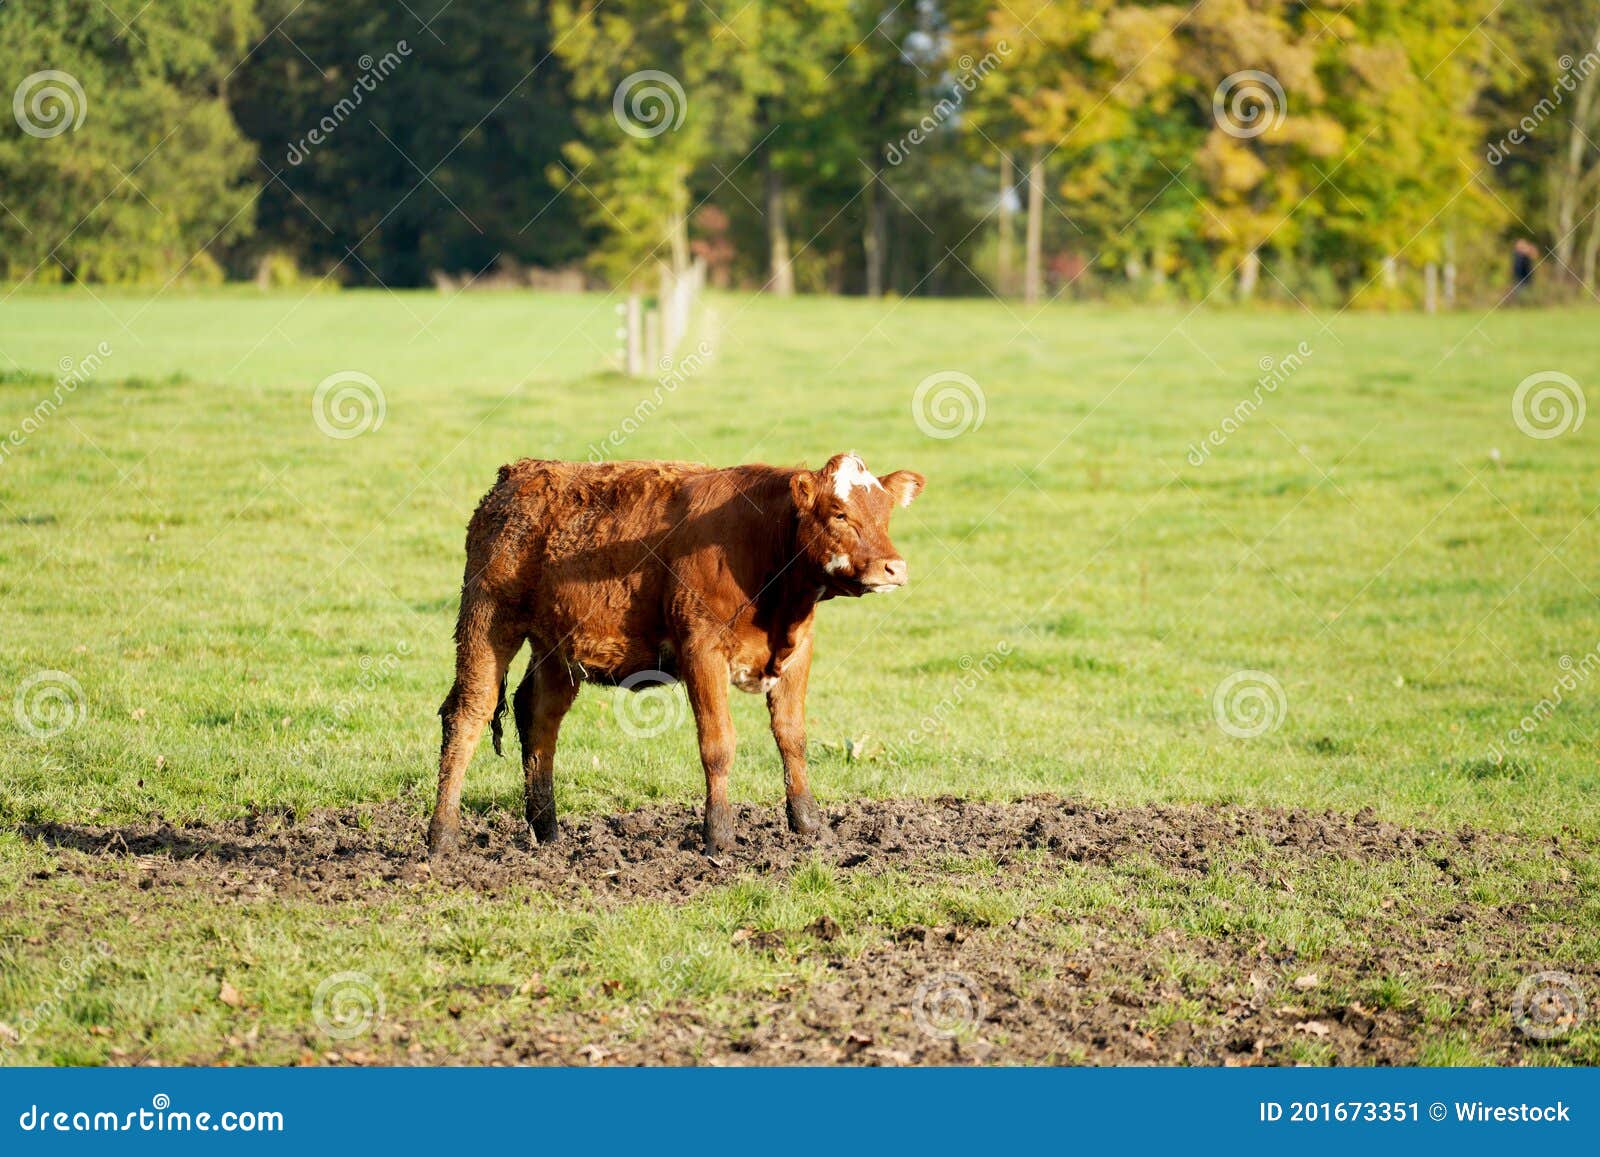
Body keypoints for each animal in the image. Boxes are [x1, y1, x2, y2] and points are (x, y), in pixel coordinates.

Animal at [426, 452, 925, 858]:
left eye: (886, 514)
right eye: (839, 513)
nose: (894, 567)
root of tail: (519, 473)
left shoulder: (798, 652)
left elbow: (792, 737)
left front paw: (809, 825)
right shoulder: (701, 650)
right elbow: (718, 745)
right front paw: (718, 837)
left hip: (557, 645)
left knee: (539, 716)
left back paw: (547, 831)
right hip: (488, 618)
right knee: (468, 713)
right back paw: (442, 837)